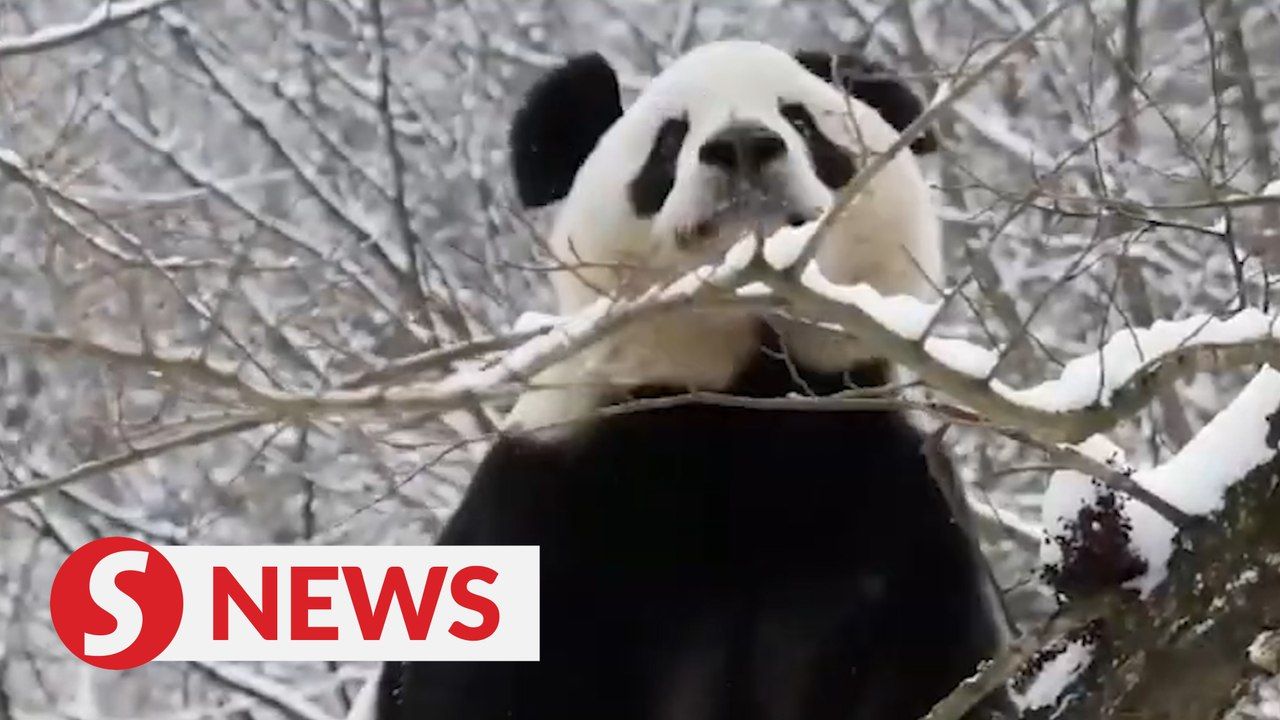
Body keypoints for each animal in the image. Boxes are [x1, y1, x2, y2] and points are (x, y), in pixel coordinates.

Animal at [376, 41, 1007, 720]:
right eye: (669, 139)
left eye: (802, 120)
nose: (743, 145)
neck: (749, 381)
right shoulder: (553, 496)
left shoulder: (887, 483)